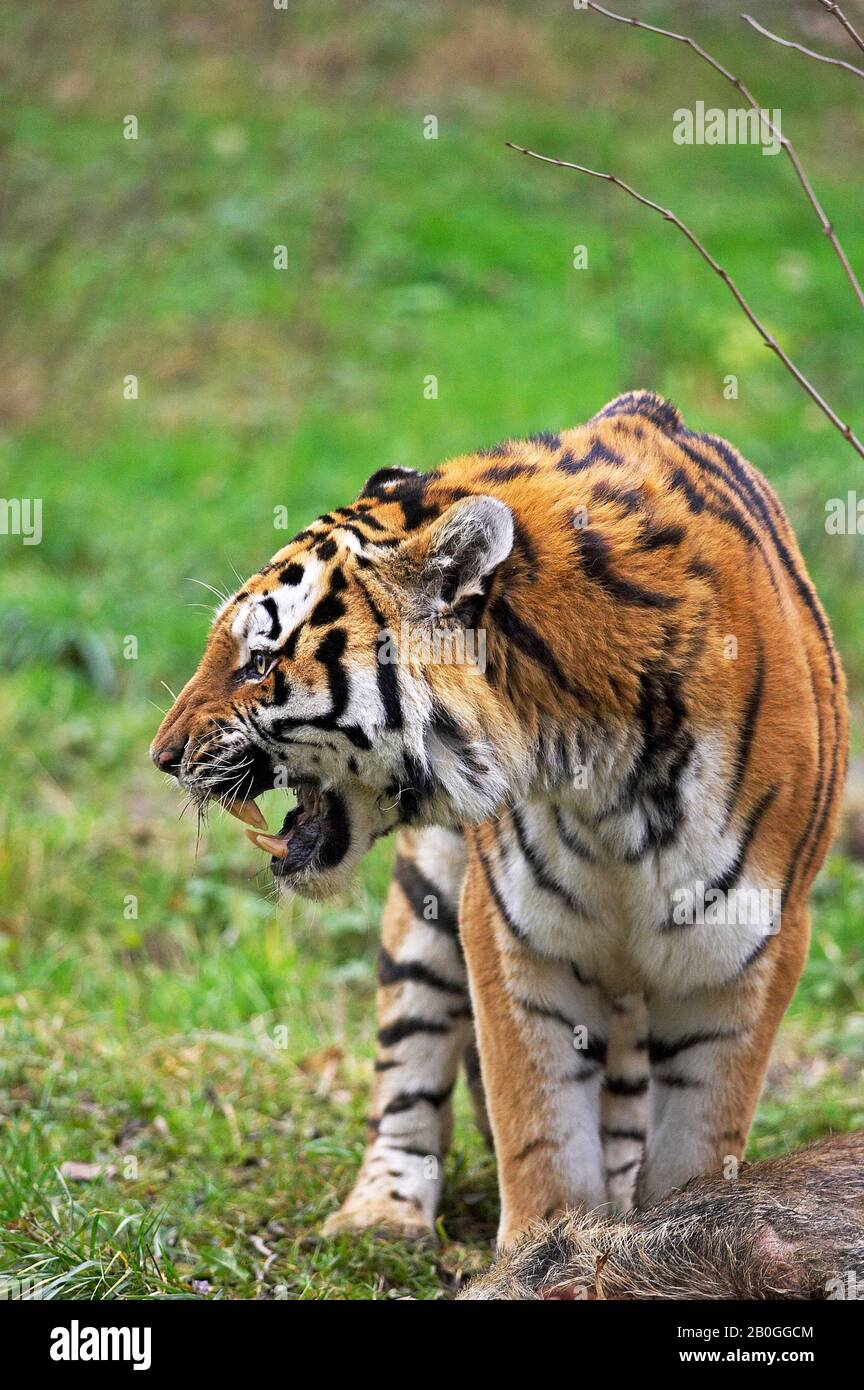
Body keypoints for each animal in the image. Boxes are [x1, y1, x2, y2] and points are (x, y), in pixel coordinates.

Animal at [151, 390, 847, 1249]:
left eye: (258, 661)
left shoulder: (747, 952)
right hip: (427, 899)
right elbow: (538, 1130)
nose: (162, 756)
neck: (603, 776)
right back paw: (379, 1217)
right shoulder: (516, 933)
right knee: (409, 1071)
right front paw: (541, 1249)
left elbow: (697, 1139)